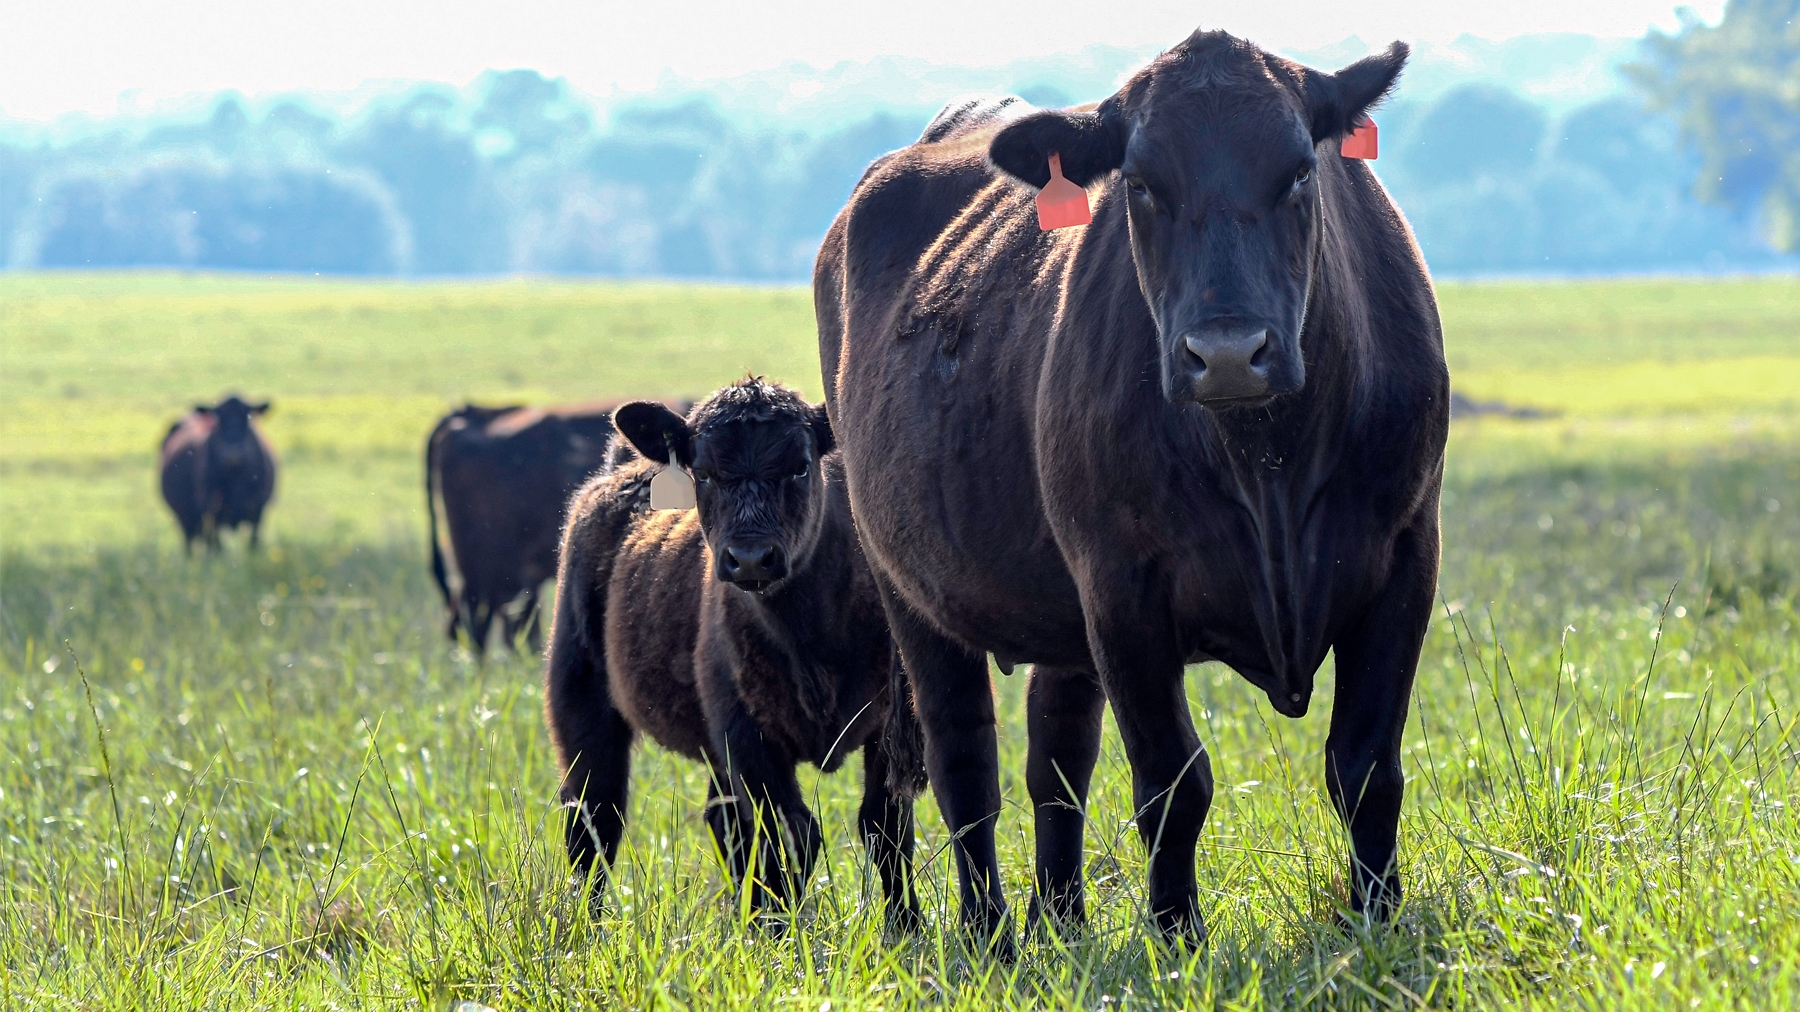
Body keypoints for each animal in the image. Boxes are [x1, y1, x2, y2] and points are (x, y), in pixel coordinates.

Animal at [160, 395, 277, 553]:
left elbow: (253, 543)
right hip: (184, 519)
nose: (233, 454)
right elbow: (216, 547)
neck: (234, 477)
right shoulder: (209, 510)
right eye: (219, 420)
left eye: (246, 418)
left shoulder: (258, 509)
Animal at [544, 378, 924, 929]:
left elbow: (884, 826)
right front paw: (782, 929)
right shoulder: (746, 733)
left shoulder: (892, 722)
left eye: (800, 466)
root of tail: (619, 469)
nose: (749, 559)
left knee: (719, 819)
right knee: (595, 819)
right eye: (702, 472)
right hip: (581, 700)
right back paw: (586, 924)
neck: (810, 636)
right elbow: (790, 831)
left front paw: (905, 927)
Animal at [814, 29, 1449, 951]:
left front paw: (1379, 918)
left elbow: (1365, 767)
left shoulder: (1406, 557)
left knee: (1056, 759)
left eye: (1300, 171)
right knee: (963, 762)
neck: (1266, 459)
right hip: (908, 587)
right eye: (1142, 184)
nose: (1227, 352)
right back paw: (991, 934)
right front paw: (1179, 937)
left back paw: (1063, 921)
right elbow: (1173, 784)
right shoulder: (1122, 587)